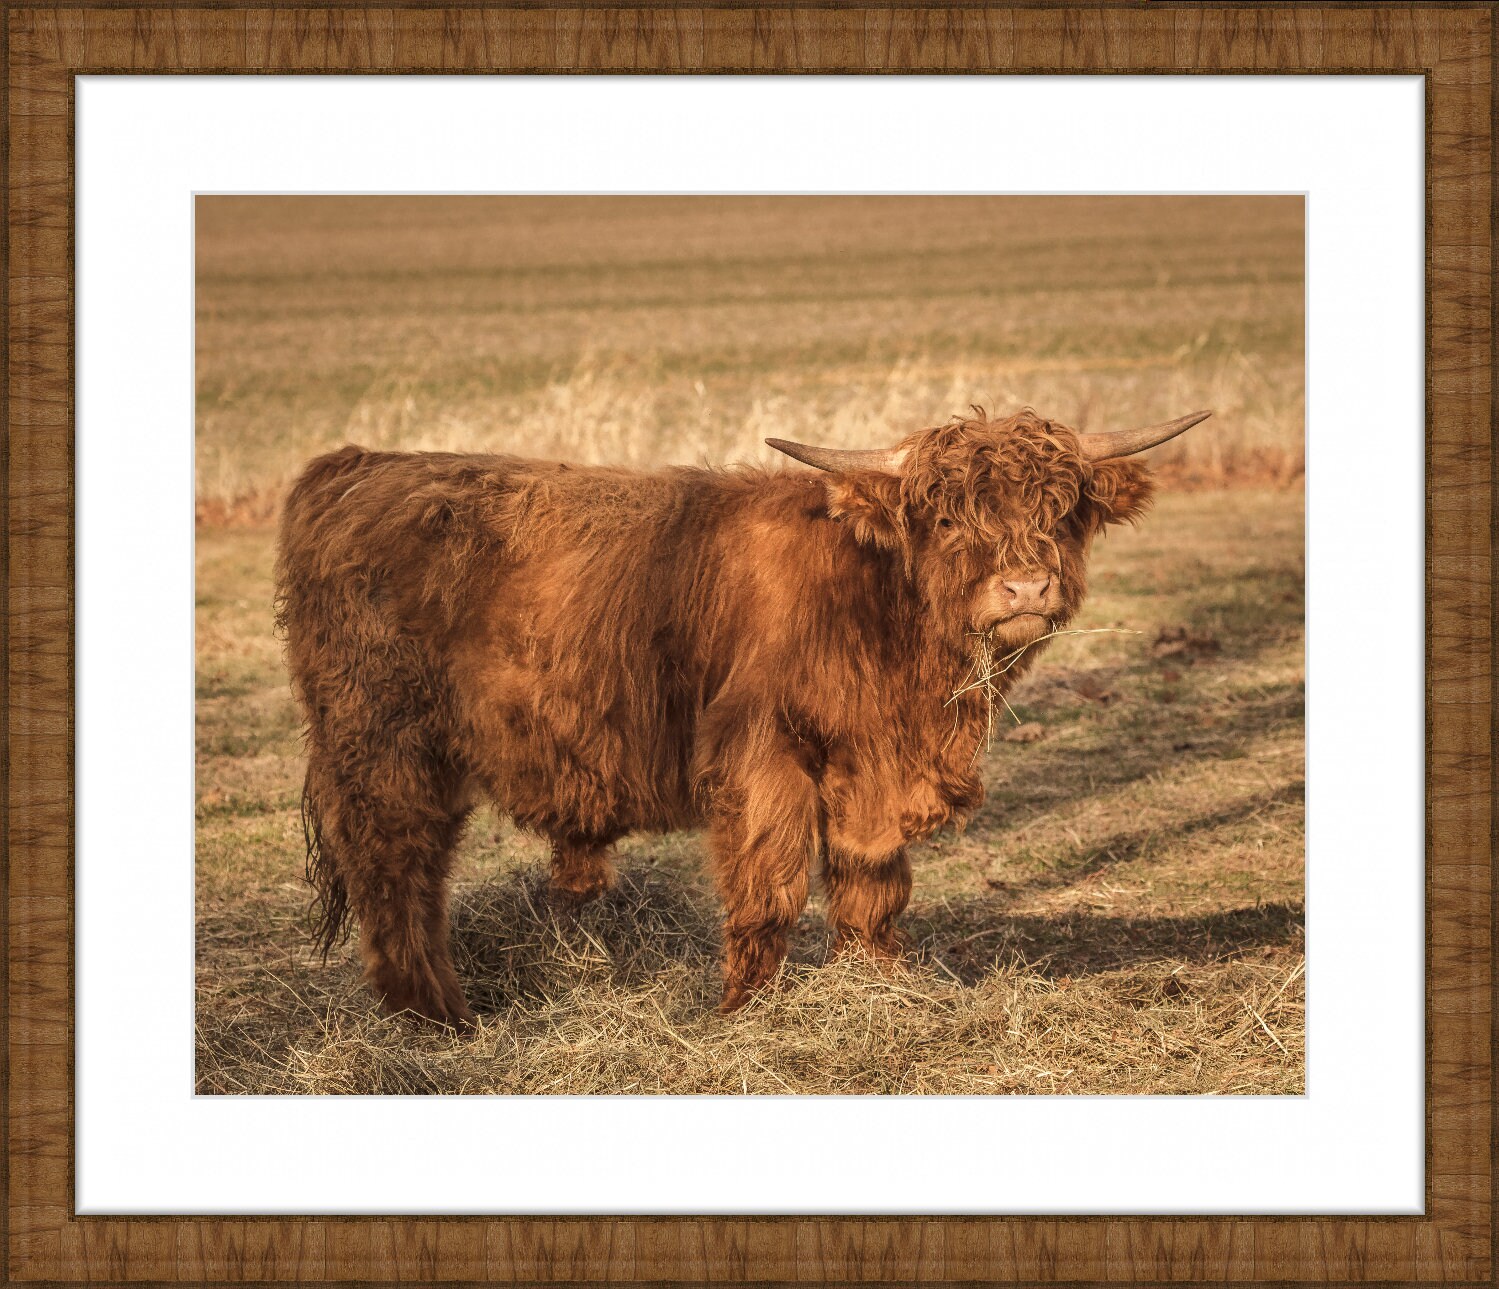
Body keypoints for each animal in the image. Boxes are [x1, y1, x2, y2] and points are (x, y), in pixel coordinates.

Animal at [275, 406, 1210, 1025]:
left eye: (1062, 508)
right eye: (946, 517)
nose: (1023, 587)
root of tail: (354, 464)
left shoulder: (869, 766)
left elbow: (872, 888)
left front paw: (876, 987)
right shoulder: (761, 758)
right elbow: (768, 890)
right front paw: (743, 1015)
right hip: (384, 747)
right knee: (396, 872)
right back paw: (439, 1021)